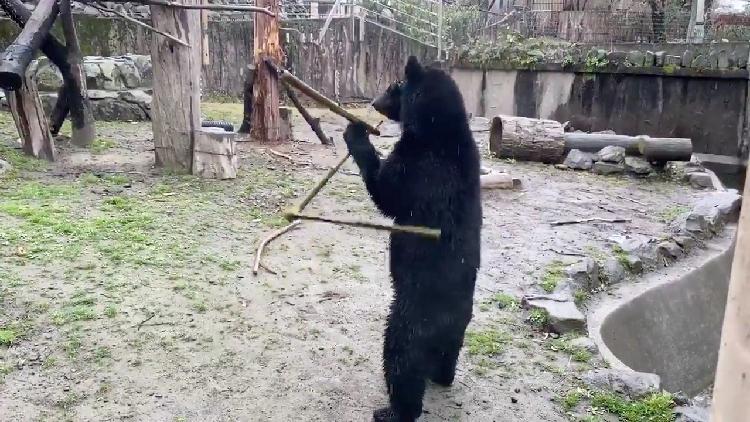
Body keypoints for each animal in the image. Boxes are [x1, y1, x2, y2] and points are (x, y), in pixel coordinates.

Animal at [343, 56, 482, 422]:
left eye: (394, 85)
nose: (373, 101)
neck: (440, 131)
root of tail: (452, 319)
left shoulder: (420, 164)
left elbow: (388, 193)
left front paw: (356, 132)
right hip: (455, 336)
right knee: (447, 357)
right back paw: (442, 377)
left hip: (410, 321)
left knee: (400, 359)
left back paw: (393, 411)